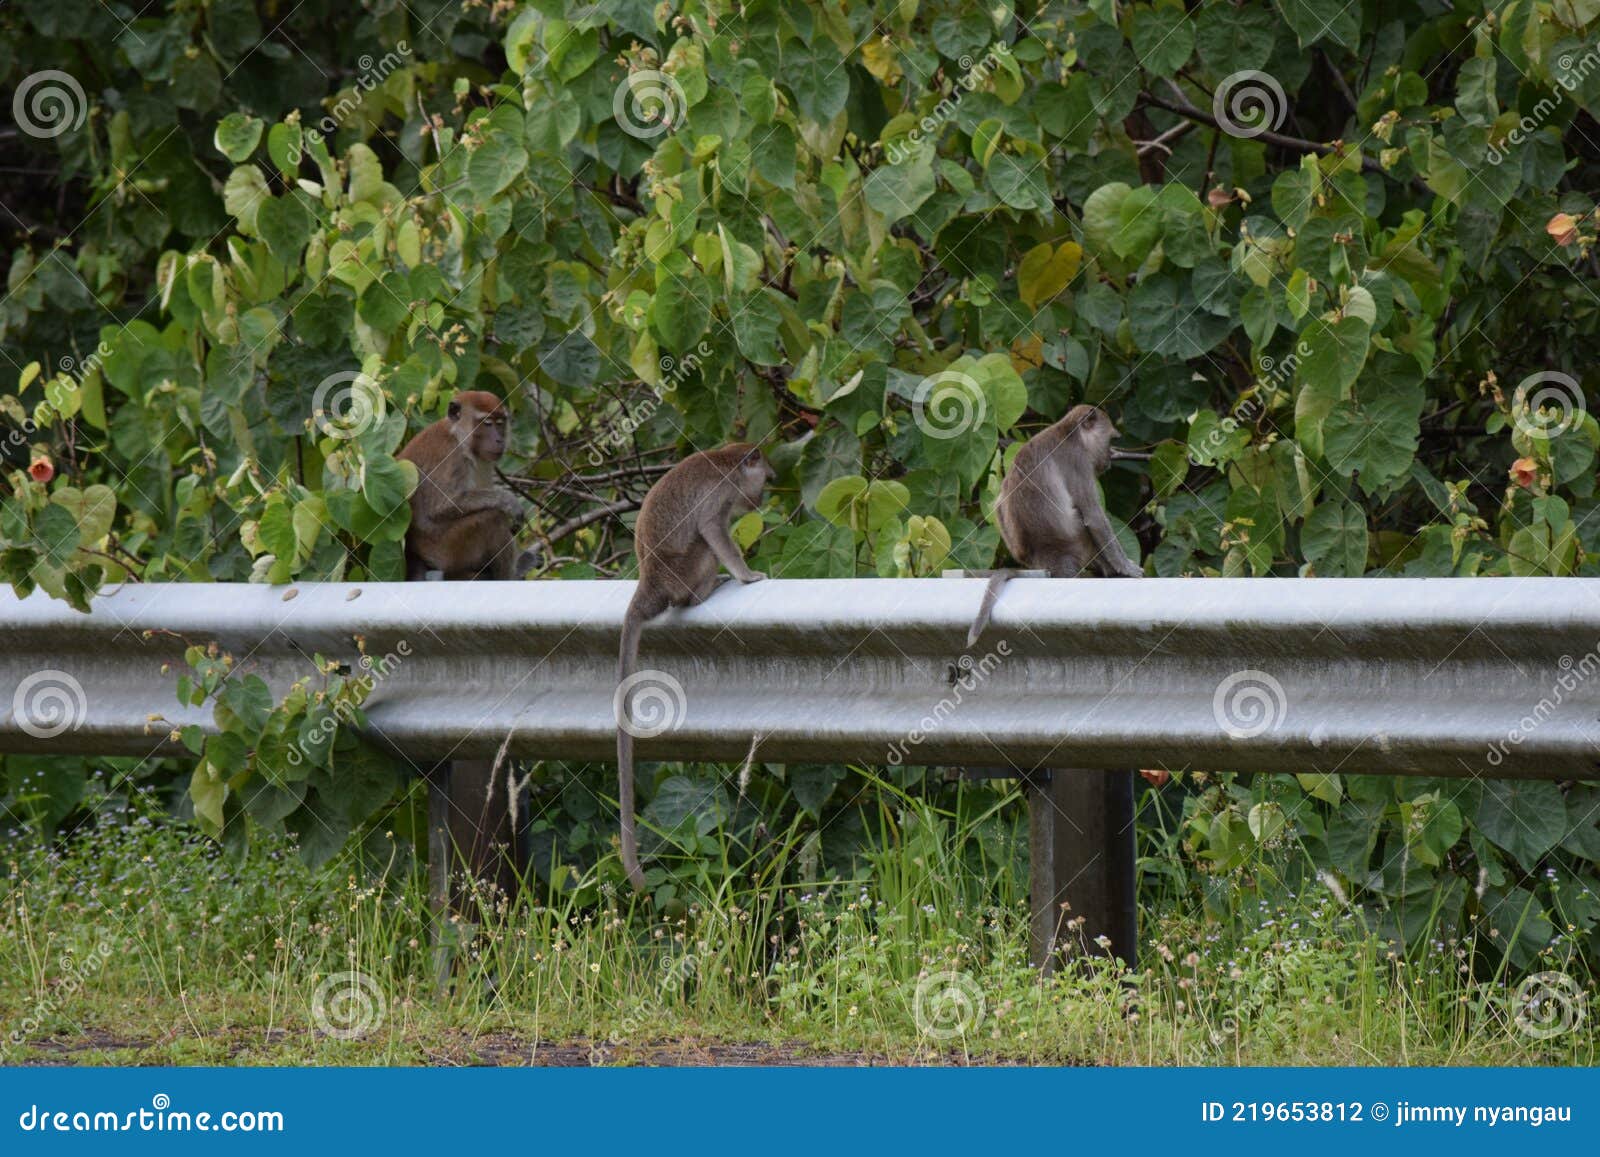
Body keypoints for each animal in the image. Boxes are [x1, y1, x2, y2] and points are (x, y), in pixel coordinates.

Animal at [396, 390, 529, 581]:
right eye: (487, 423)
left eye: (500, 423)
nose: (499, 440)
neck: (459, 436)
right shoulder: (450, 456)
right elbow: (442, 506)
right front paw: (508, 500)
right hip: (448, 552)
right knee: (492, 518)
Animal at [616, 442, 775, 891]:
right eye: (765, 478)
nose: (761, 499)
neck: (727, 461)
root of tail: (650, 581)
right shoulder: (720, 494)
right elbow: (712, 530)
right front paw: (747, 575)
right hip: (682, 570)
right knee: (702, 547)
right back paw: (703, 591)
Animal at [967, 404, 1143, 646]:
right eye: (1109, 440)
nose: (1110, 457)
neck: (1069, 433)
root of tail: (1043, 560)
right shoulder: (1078, 461)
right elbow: (1093, 516)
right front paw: (1126, 567)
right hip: (1077, 544)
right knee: (1081, 520)